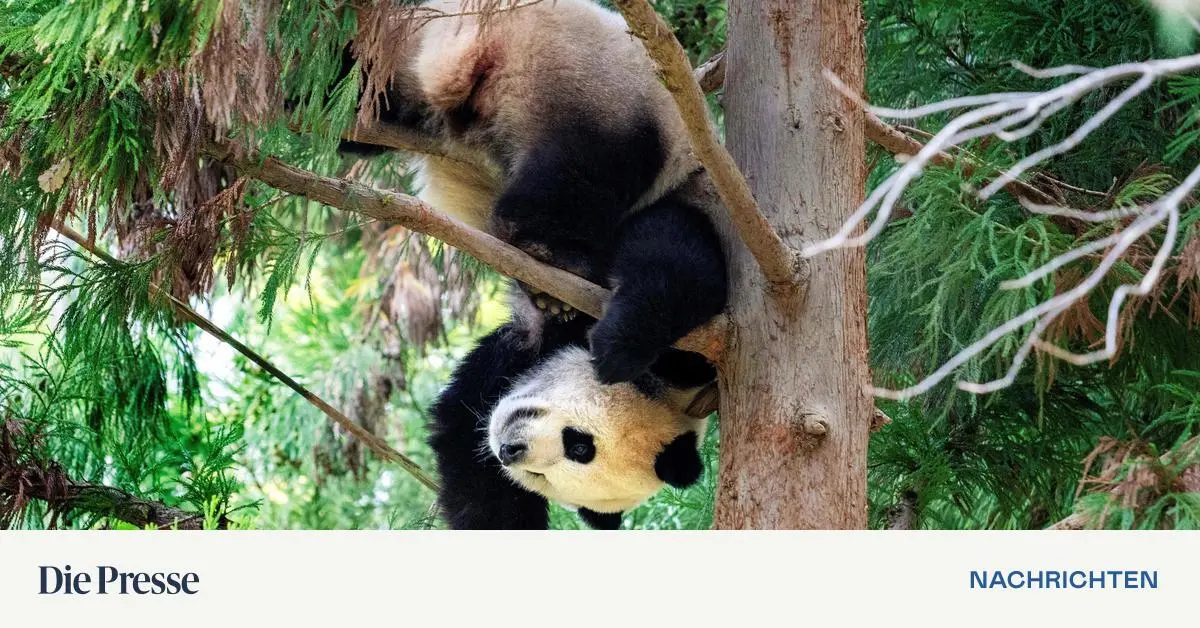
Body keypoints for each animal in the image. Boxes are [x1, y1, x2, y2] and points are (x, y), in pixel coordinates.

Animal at [341, 0, 730, 385]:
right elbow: (676, 267)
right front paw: (618, 351)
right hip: (598, 96)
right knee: (584, 172)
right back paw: (547, 251)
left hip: (415, 58)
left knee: (372, 88)